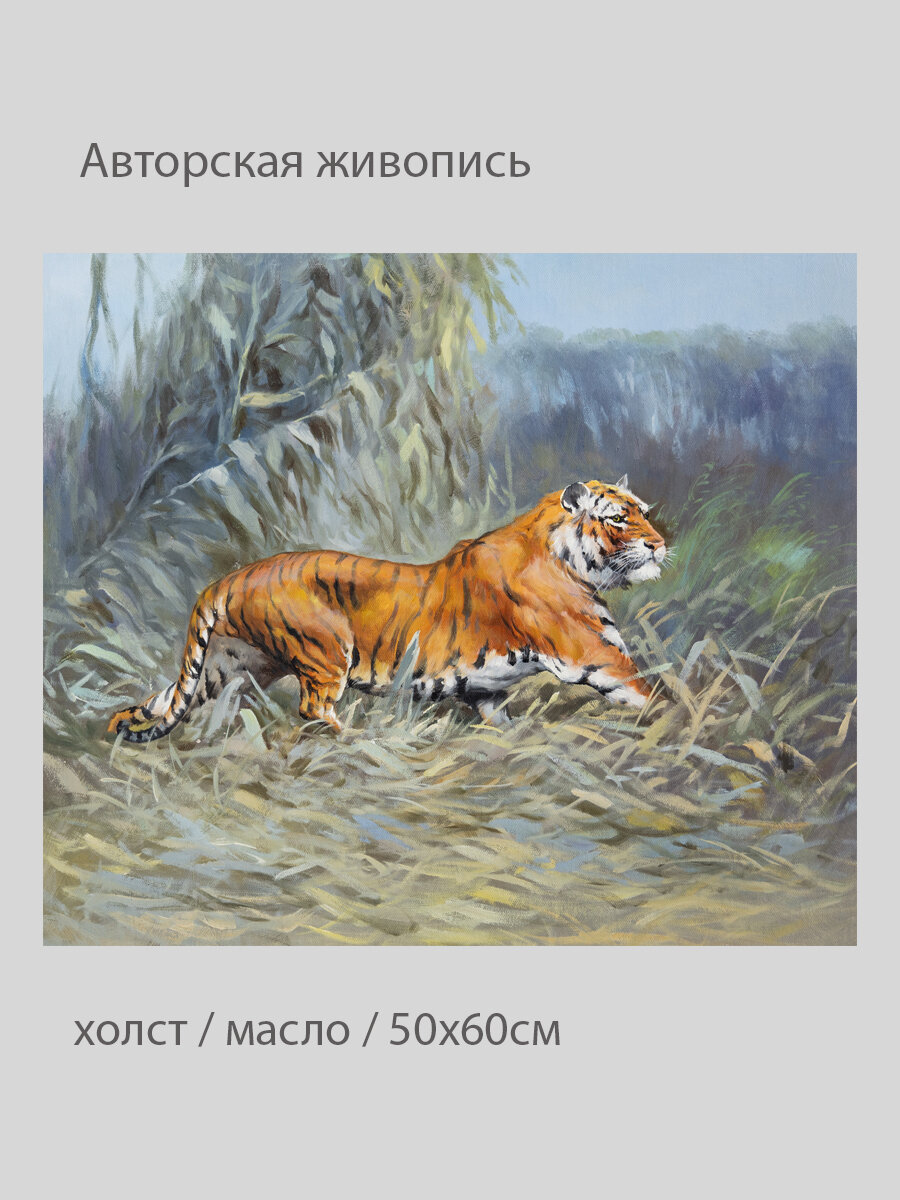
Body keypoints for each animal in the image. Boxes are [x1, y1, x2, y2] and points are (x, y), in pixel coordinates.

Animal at [107, 475, 668, 743]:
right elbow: (653, 694)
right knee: (314, 709)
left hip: (227, 669)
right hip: (327, 653)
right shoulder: (596, 652)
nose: (662, 546)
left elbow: (501, 720)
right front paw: (679, 730)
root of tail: (229, 577)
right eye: (620, 519)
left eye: (643, 512)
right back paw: (356, 741)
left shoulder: (488, 692)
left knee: (159, 704)